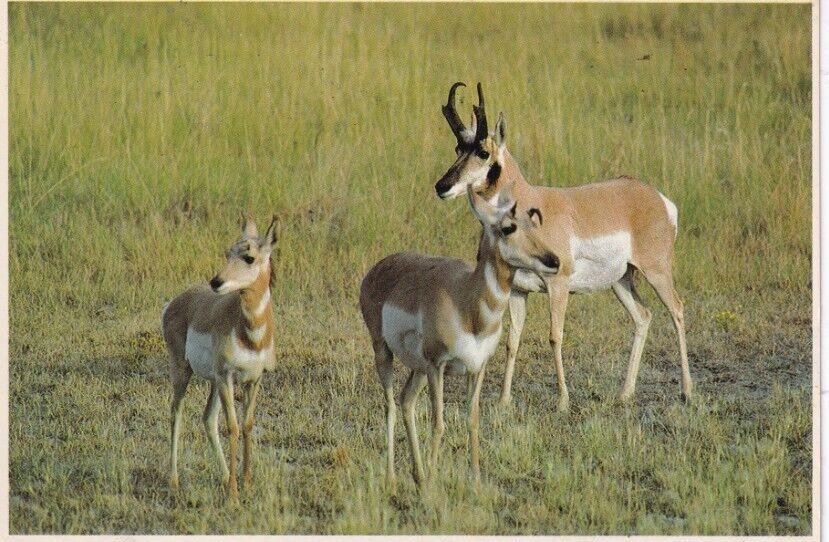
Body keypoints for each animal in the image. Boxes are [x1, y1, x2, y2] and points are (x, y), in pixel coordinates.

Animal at [162, 215, 278, 498]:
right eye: (228, 253)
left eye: (249, 257)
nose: (216, 282)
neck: (250, 335)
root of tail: (176, 302)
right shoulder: (228, 377)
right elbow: (233, 427)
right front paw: (235, 493)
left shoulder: (253, 380)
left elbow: (247, 426)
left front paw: (245, 483)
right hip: (184, 372)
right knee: (175, 412)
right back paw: (174, 480)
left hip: (214, 382)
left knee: (208, 419)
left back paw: (225, 475)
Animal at [359, 184, 559, 489]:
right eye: (508, 227)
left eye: (534, 224)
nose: (554, 261)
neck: (467, 301)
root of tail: (378, 267)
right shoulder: (437, 366)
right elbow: (439, 422)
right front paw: (432, 485)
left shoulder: (477, 368)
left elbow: (472, 420)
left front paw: (474, 483)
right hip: (384, 354)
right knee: (390, 406)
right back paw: (394, 479)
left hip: (417, 369)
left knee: (406, 401)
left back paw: (417, 475)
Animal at [435, 82, 691, 411]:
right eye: (458, 149)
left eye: (482, 152)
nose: (442, 186)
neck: (529, 202)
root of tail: (655, 197)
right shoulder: (517, 290)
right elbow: (512, 340)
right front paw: (504, 400)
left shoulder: (558, 284)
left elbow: (555, 336)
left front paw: (562, 401)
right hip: (621, 280)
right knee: (643, 316)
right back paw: (625, 393)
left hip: (656, 271)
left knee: (677, 310)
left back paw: (687, 391)